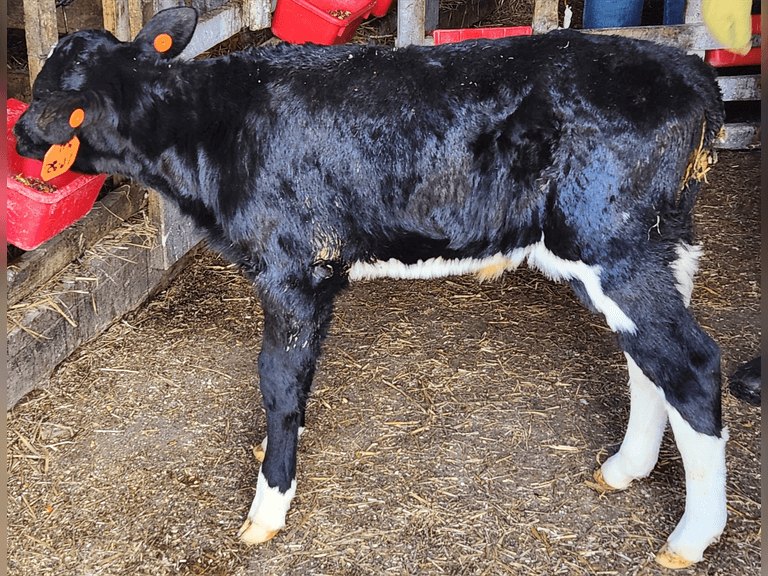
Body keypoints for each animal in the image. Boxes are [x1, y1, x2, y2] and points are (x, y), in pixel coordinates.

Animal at [13, 7, 728, 569]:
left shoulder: (295, 272)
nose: (17, 131)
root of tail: (690, 73)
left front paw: (269, 505)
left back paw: (691, 536)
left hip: (610, 245)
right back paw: (626, 468)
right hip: (656, 248)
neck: (209, 135)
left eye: (45, 94)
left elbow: (279, 381)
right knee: (649, 363)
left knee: (692, 365)